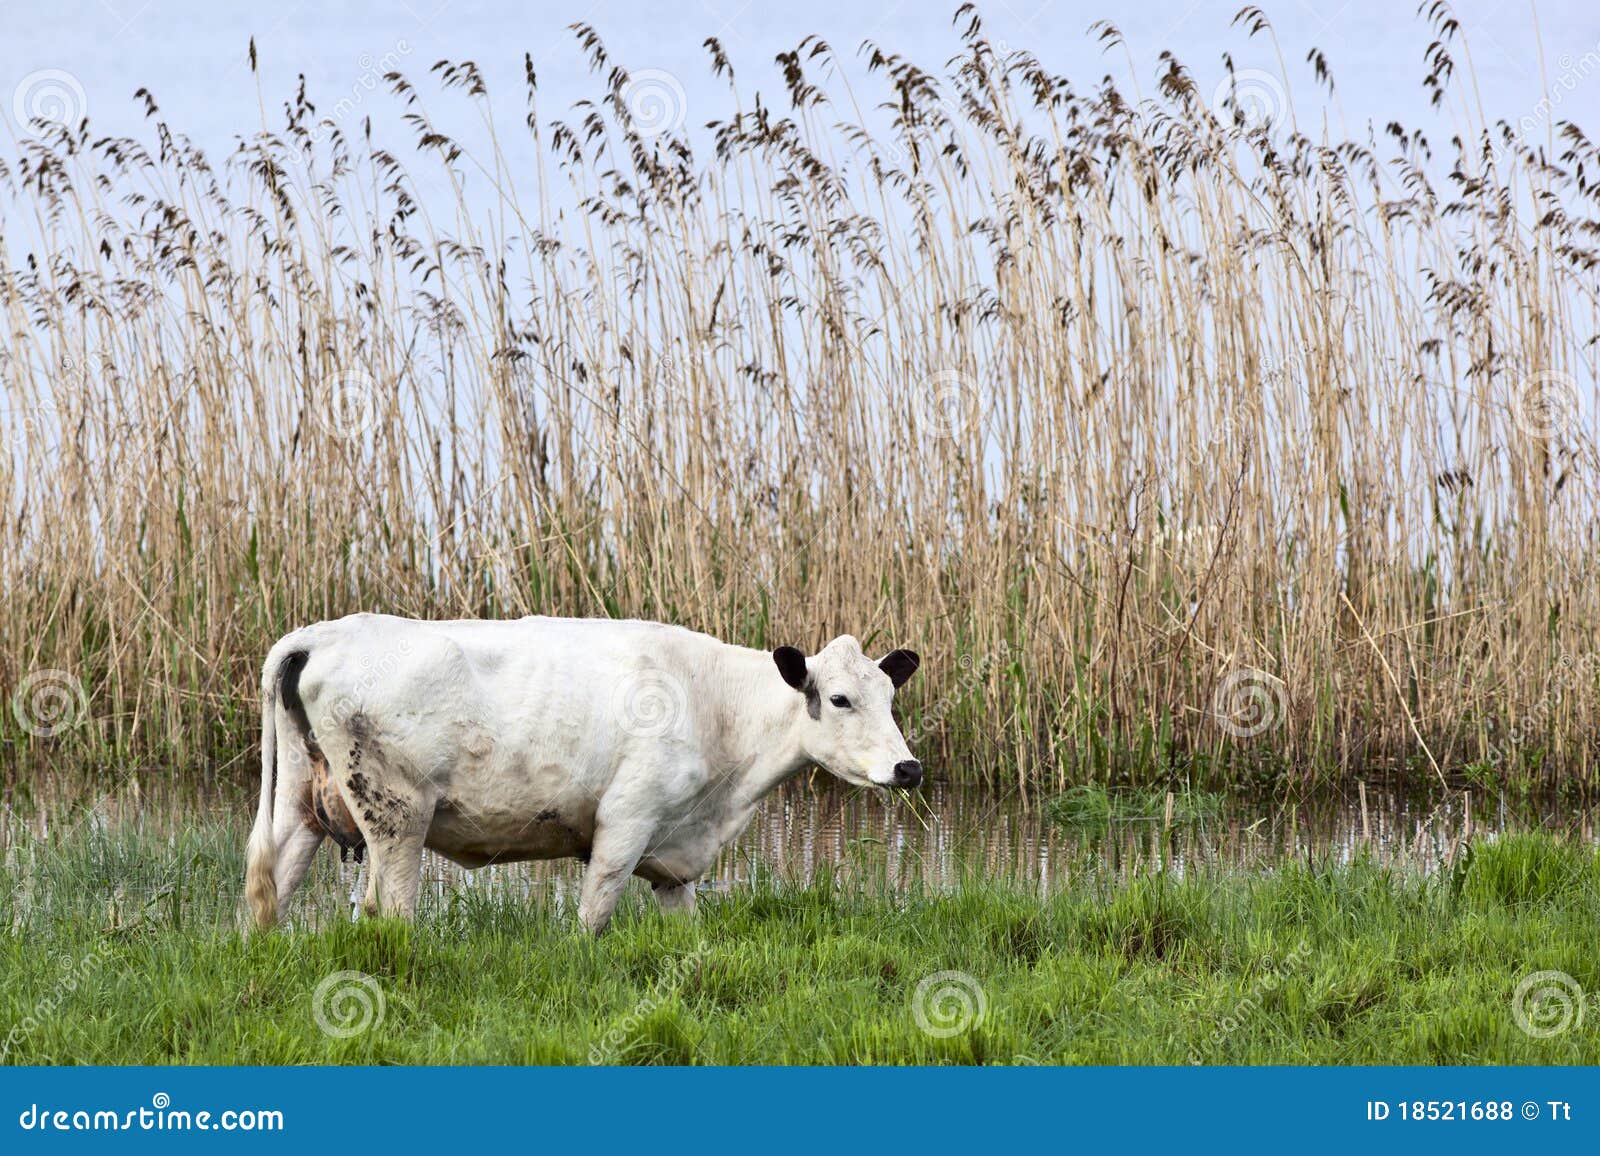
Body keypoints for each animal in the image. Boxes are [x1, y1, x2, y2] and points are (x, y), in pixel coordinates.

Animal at [244, 614, 922, 934]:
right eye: (839, 700)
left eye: (891, 695)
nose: (908, 767)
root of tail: (324, 633)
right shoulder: (627, 819)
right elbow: (593, 916)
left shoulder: (676, 856)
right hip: (397, 815)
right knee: (389, 909)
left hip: (300, 806)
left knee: (267, 891)